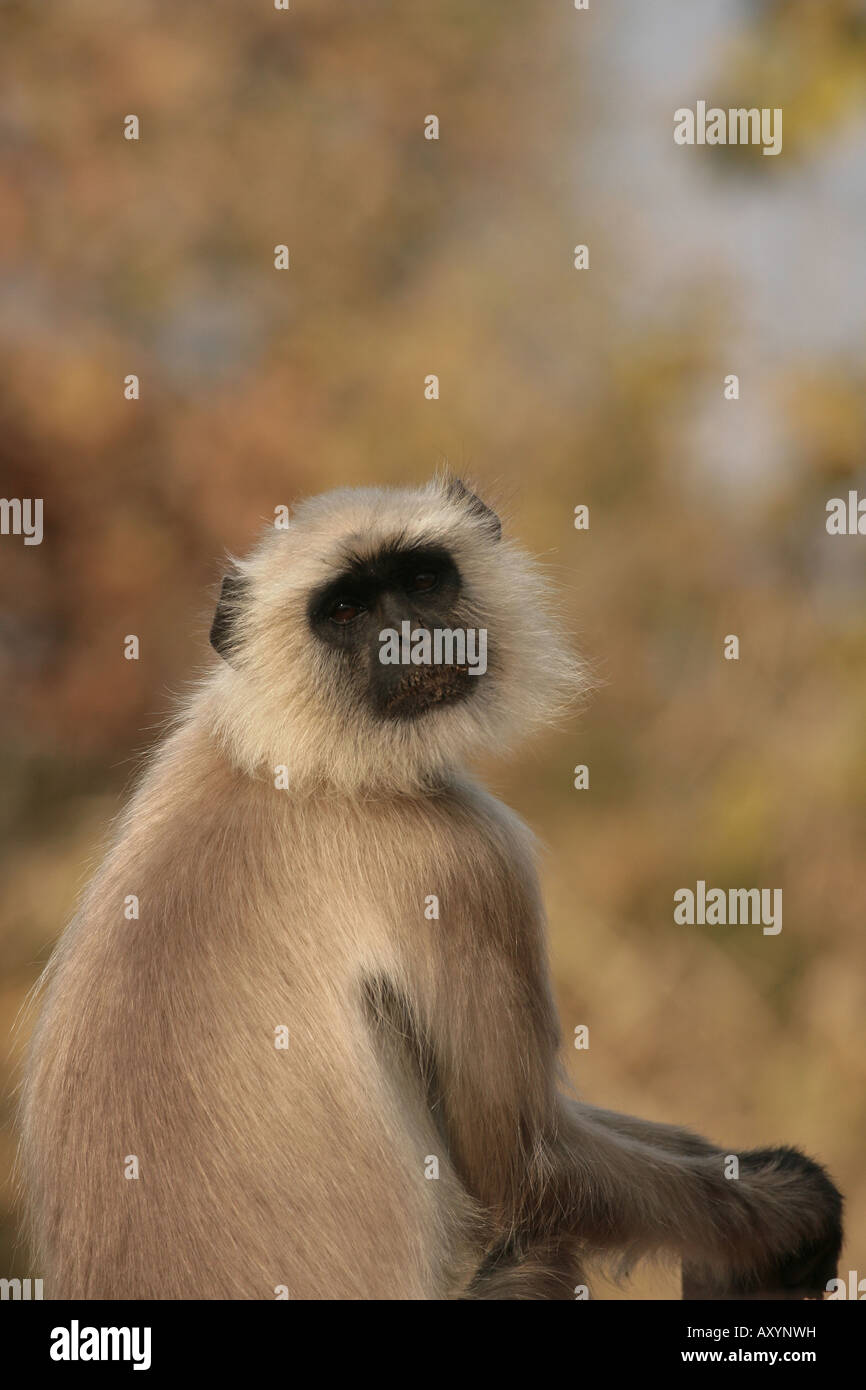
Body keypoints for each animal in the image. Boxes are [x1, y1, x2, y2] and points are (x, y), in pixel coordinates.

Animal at [19, 475, 842, 1300]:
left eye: (421, 580)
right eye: (346, 611)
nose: (412, 638)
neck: (300, 761)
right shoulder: (466, 858)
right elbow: (528, 1167)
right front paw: (787, 1216)